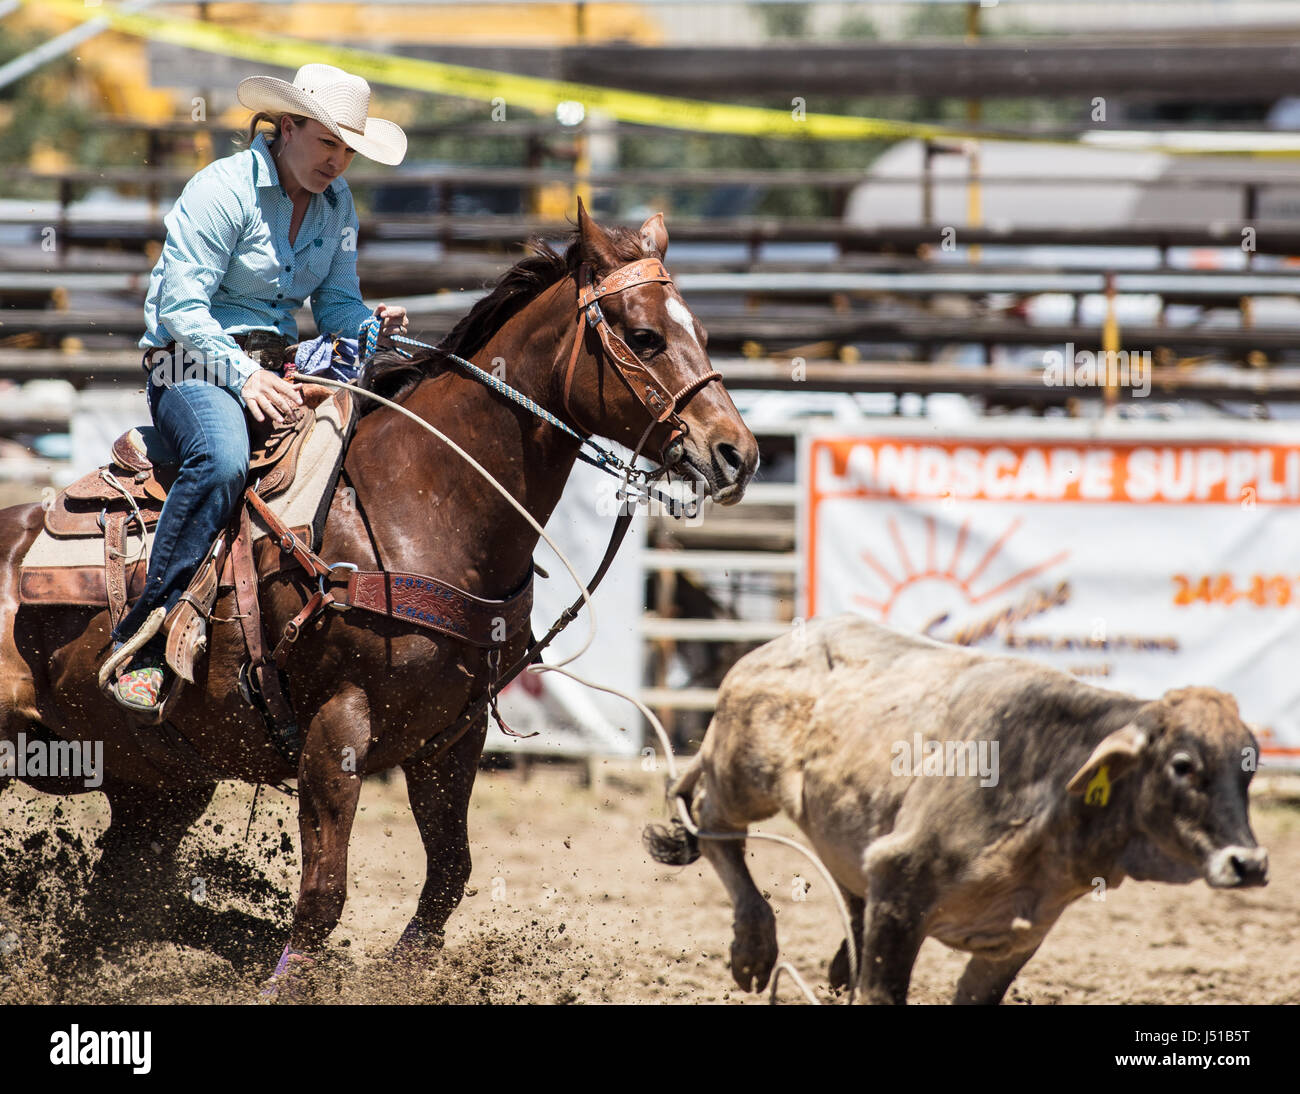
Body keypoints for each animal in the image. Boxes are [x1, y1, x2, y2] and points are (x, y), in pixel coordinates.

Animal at [646, 614, 1269, 1004]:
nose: (1249, 864)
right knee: (711, 821)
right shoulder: (901, 889)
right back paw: (754, 945)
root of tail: (777, 647)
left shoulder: (1016, 939)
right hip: (741, 774)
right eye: (1183, 765)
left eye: (1249, 768)